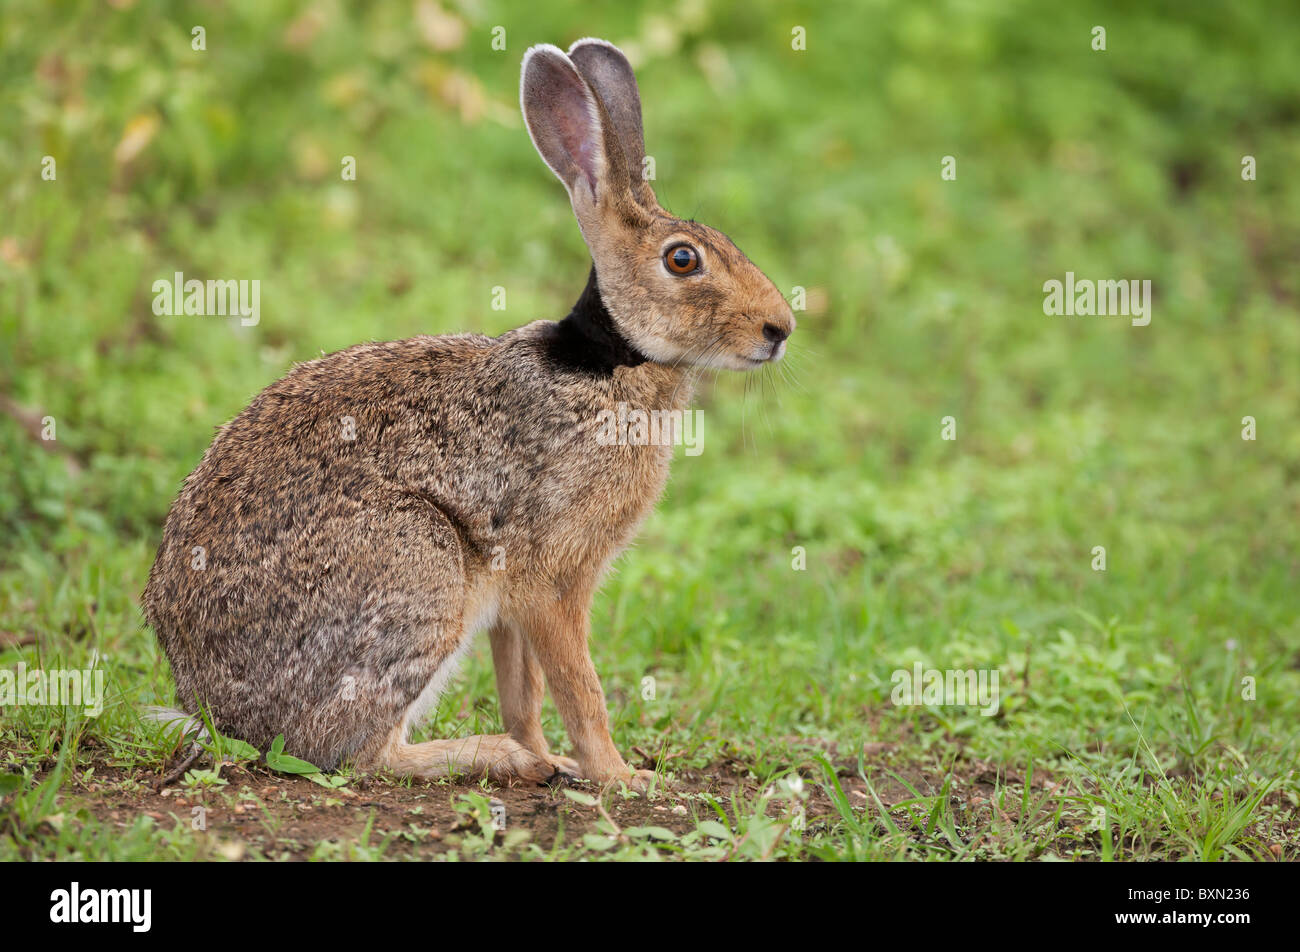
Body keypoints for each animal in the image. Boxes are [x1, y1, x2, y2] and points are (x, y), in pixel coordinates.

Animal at [142, 38, 795, 791]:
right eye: (683, 260)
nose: (780, 328)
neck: (608, 365)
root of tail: (215, 711)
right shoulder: (551, 575)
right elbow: (580, 687)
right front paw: (619, 776)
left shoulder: (513, 600)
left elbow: (524, 689)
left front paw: (557, 759)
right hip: (419, 568)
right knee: (353, 754)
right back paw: (496, 757)